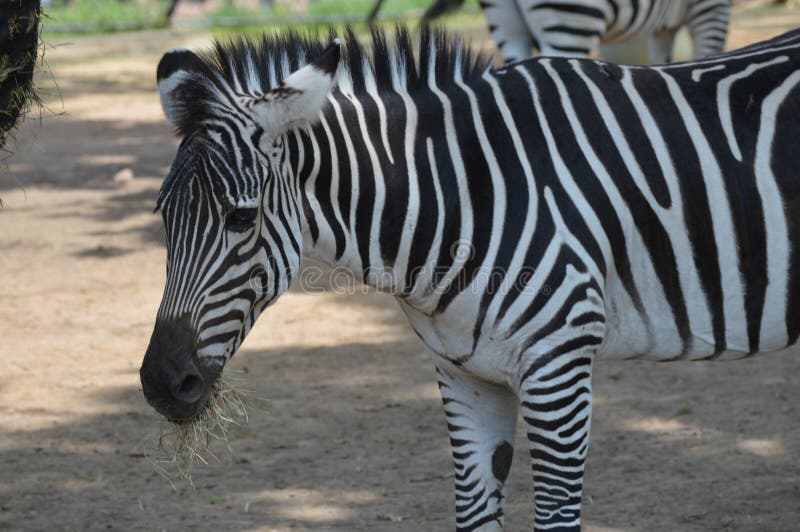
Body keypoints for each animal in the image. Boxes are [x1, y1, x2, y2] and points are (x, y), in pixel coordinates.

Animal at [140, 27, 800, 531]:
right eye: (162, 215)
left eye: (240, 217)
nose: (161, 385)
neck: (462, 199)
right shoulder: (465, 376)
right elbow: (474, 514)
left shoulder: (559, 369)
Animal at [478, 0, 731, 64]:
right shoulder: (710, 8)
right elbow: (707, 54)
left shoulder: (663, 28)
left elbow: (662, 61)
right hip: (571, 18)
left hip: (505, 24)